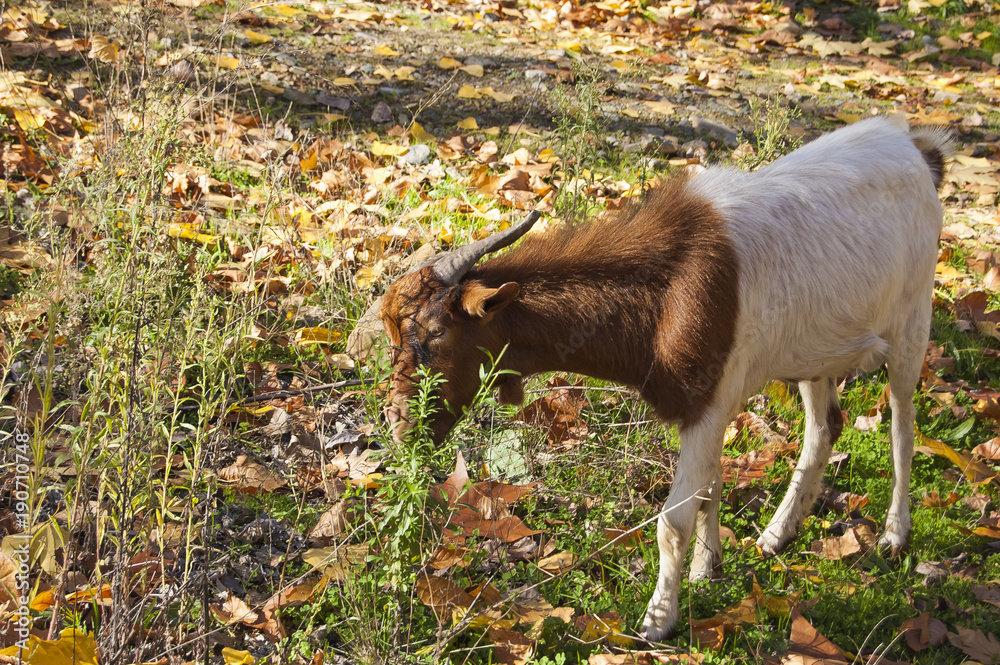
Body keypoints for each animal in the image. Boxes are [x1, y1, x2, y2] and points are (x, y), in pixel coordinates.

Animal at [370, 115, 951, 640]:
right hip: (819, 348)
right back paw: (777, 535)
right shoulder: (716, 405)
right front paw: (708, 570)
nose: (398, 426)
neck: (665, 290)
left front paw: (659, 619)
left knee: (902, 424)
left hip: (913, 318)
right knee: (825, 426)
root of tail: (917, 149)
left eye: (436, 336)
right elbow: (711, 490)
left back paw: (895, 534)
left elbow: (674, 520)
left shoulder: (706, 404)